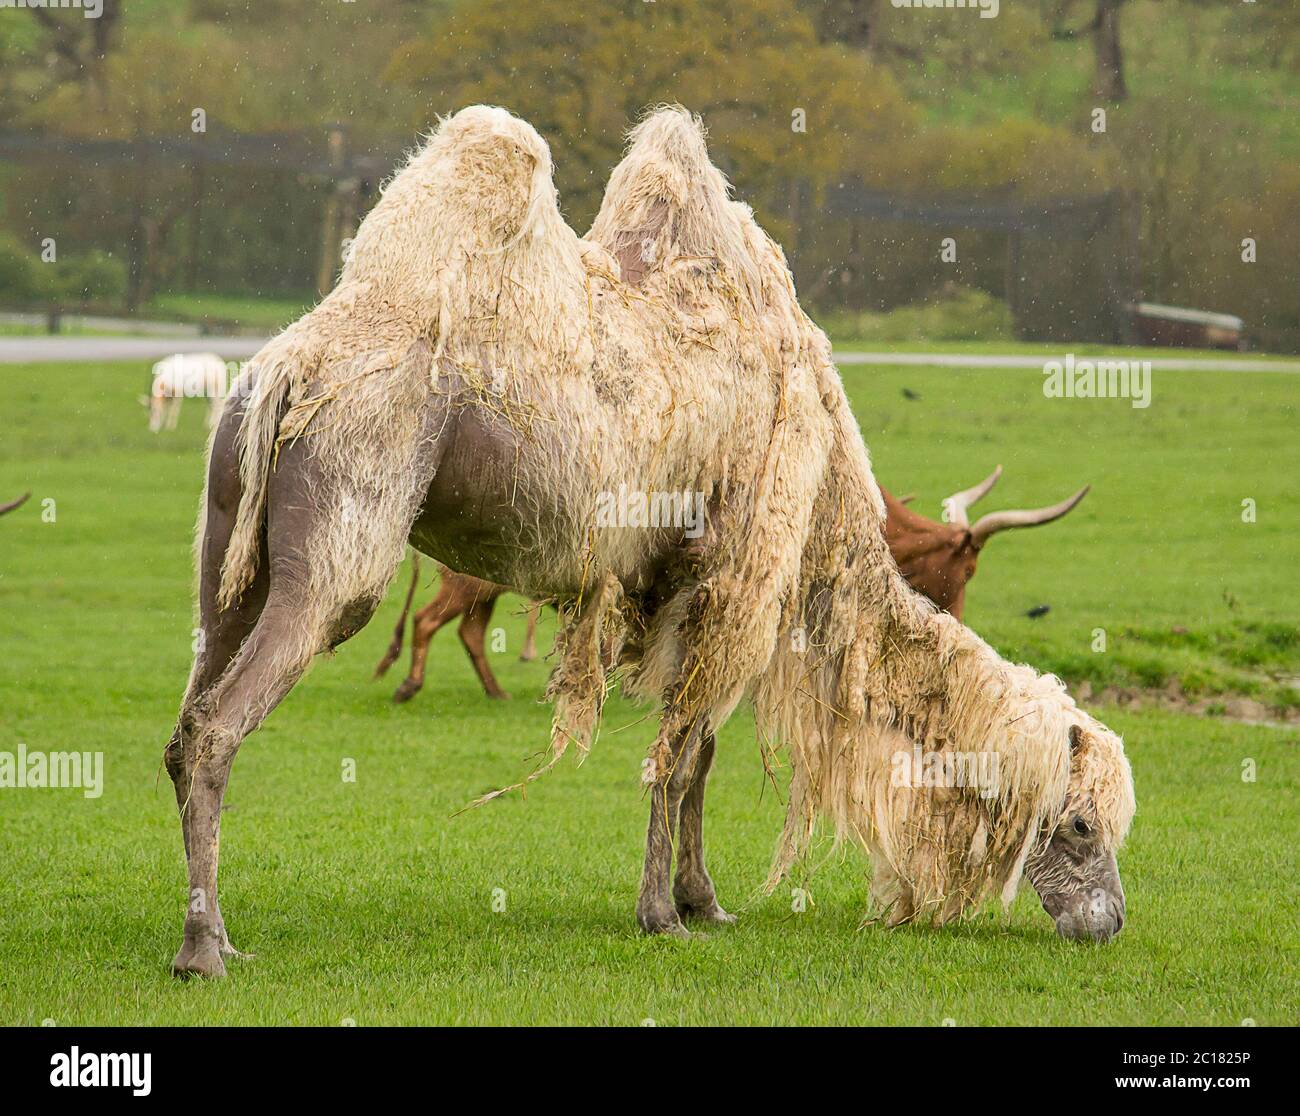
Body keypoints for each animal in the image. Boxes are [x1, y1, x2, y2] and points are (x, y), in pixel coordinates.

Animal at [165, 106, 1135, 978]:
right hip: (344, 544)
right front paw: (663, 914)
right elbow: (677, 753)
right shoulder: (733, 576)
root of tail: (281, 375)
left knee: (185, 719)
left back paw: (218, 932)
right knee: (218, 727)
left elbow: (698, 751)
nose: (1112, 921)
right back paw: (204, 951)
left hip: (225, 556)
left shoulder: (677, 585)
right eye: (1082, 823)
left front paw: (704, 900)